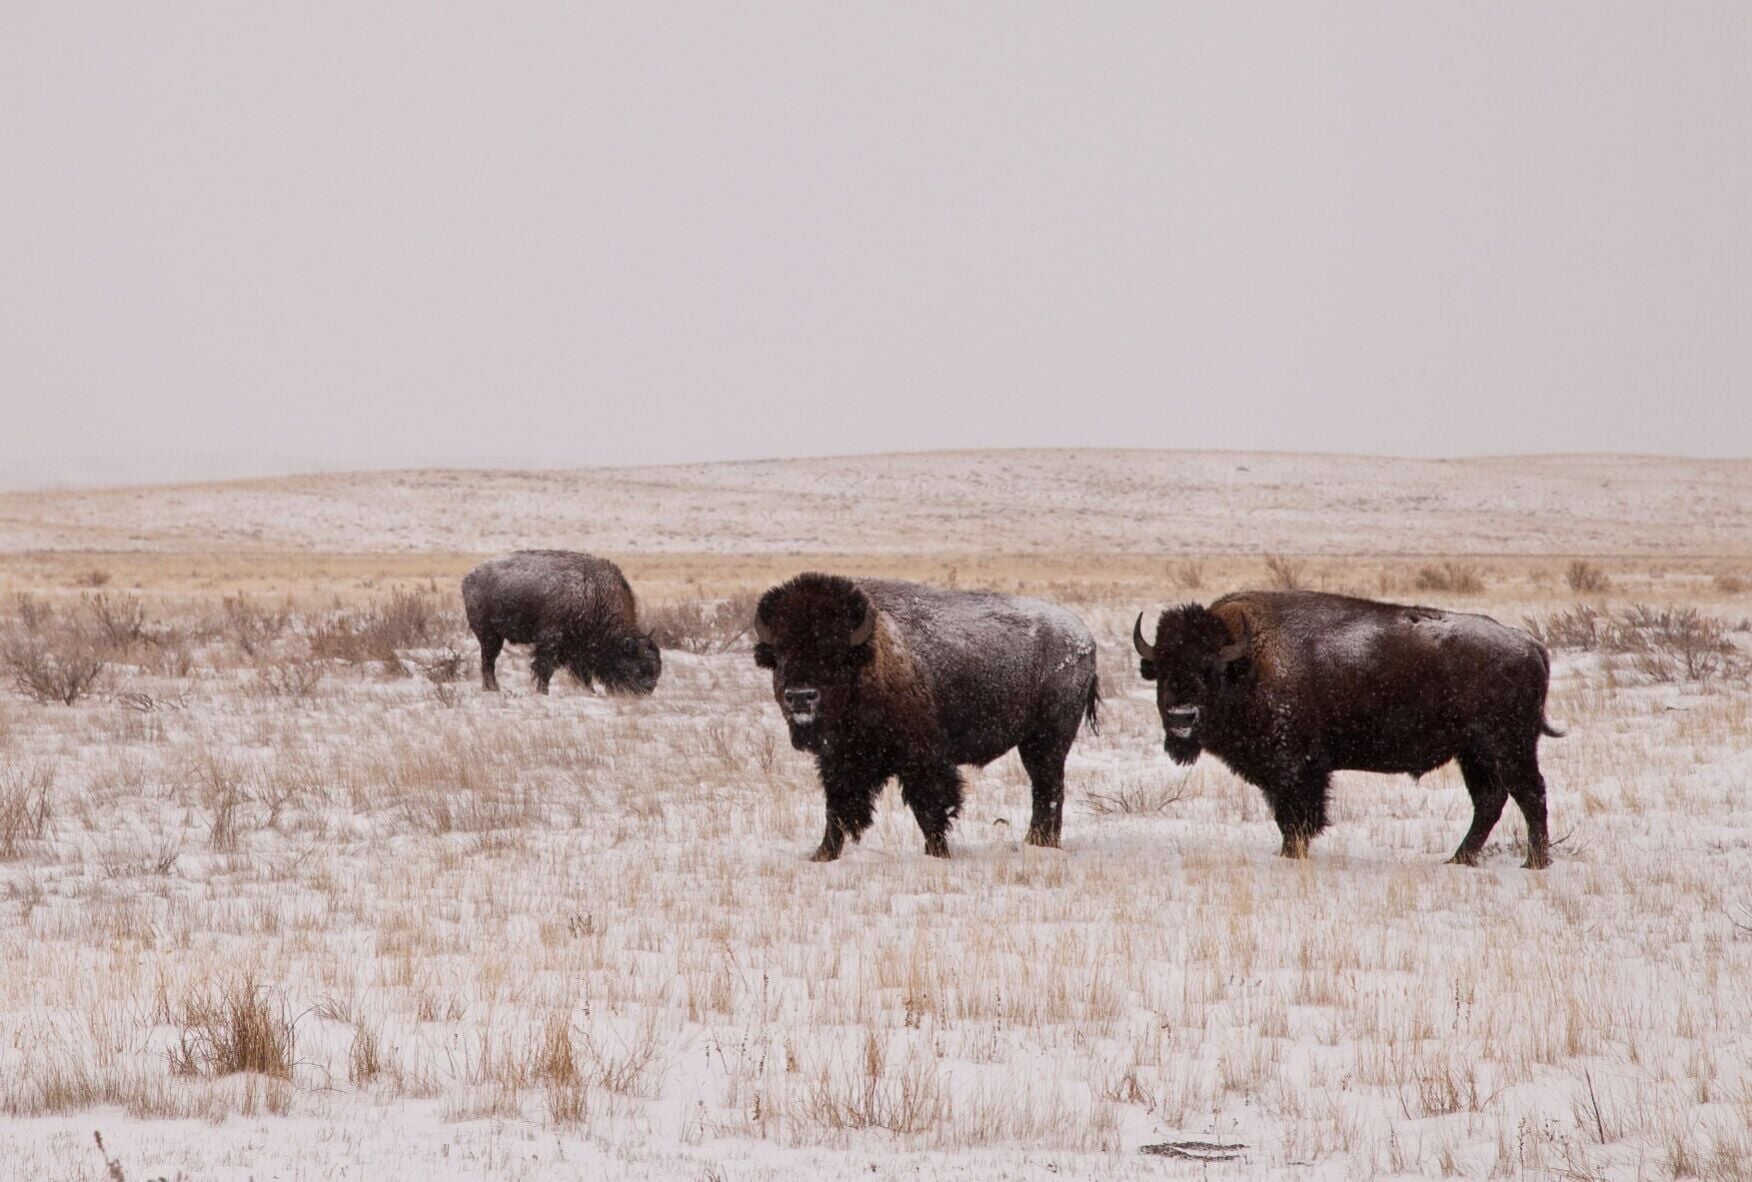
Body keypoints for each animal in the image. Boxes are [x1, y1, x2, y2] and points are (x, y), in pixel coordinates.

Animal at [462, 550, 660, 695]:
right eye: (638, 668)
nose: (646, 690)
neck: (595, 595)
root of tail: (469, 578)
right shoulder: (551, 641)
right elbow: (545, 667)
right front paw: (543, 691)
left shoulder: (579, 648)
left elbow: (582, 672)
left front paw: (590, 691)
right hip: (490, 636)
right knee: (488, 661)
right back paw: (493, 688)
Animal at [754, 573, 1101, 860]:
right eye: (780, 654)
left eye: (834, 653)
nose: (801, 696)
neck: (869, 658)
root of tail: (1085, 636)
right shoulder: (840, 759)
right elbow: (837, 808)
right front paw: (822, 856)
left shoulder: (922, 758)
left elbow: (929, 807)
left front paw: (938, 854)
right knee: (1048, 789)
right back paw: (1040, 843)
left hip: (1047, 740)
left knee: (1048, 788)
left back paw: (1040, 843)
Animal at [1133, 590, 1558, 868]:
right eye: (1164, 669)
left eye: (1210, 669)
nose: (1182, 716)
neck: (1249, 663)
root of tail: (1529, 645)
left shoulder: (1296, 770)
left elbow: (1297, 819)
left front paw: (1290, 855)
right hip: (1474, 754)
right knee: (1490, 800)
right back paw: (1459, 859)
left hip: (1508, 747)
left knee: (1529, 794)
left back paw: (1533, 863)